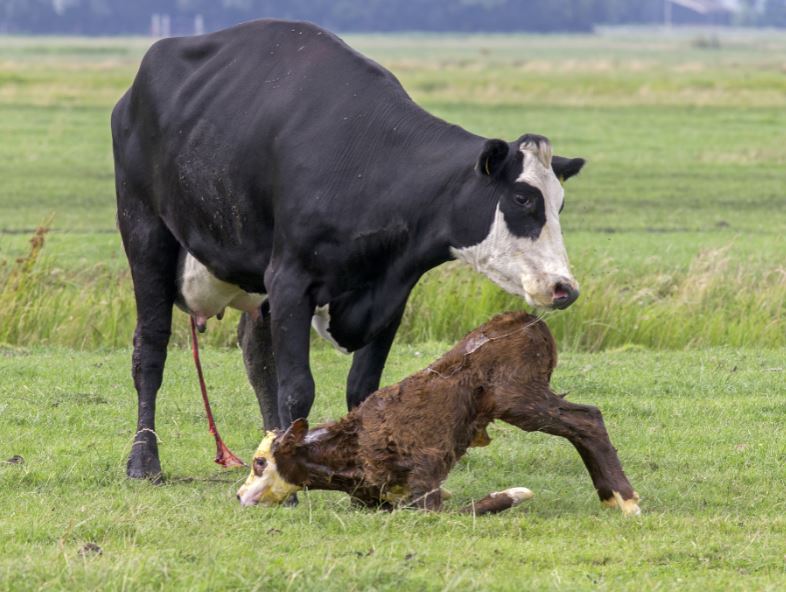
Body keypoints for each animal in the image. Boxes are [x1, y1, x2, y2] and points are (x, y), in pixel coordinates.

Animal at [111, 19, 586, 481]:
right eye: (523, 199)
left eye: (560, 203)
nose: (565, 288)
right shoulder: (290, 280)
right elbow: (297, 387)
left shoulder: (391, 295)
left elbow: (362, 388)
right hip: (144, 230)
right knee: (149, 348)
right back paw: (144, 461)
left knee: (256, 354)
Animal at [236, 312, 640, 516]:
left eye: (260, 462)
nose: (238, 496)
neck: (350, 454)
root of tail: (525, 317)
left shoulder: (425, 481)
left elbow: (456, 509)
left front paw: (515, 494)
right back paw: (612, 497)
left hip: (520, 398)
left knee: (587, 418)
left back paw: (625, 500)